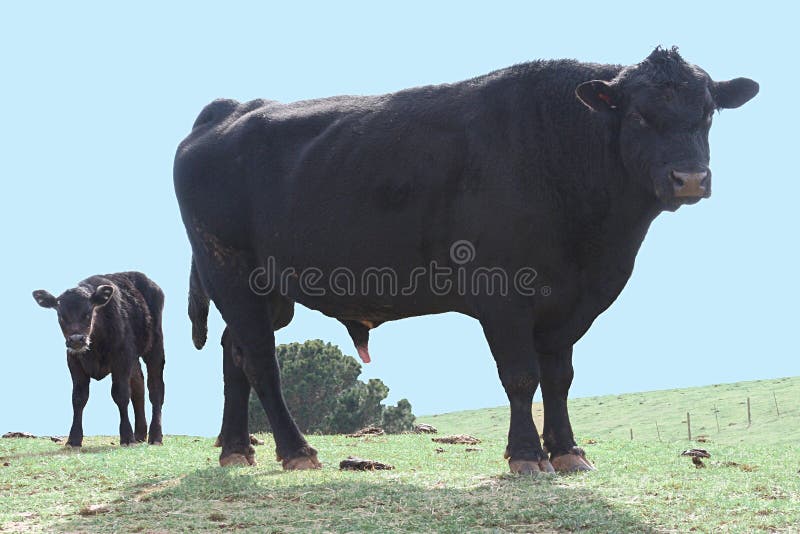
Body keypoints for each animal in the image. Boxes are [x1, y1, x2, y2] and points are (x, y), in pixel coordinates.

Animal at [32, 272, 166, 447]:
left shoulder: (121, 358)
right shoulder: (74, 361)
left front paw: (126, 437)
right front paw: (74, 438)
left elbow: (121, 394)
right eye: (61, 315)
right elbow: (78, 398)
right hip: (134, 357)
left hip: (155, 346)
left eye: (88, 313)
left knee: (155, 389)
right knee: (139, 386)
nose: (76, 339)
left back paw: (155, 436)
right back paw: (139, 434)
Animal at [174, 47, 758, 473]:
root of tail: (233, 109)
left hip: (269, 291)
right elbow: (521, 376)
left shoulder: (572, 301)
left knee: (234, 352)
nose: (689, 178)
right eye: (638, 115)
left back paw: (237, 448)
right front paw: (526, 456)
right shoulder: (503, 294)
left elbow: (560, 377)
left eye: (707, 114)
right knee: (260, 360)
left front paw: (568, 452)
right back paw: (295, 451)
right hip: (232, 272)